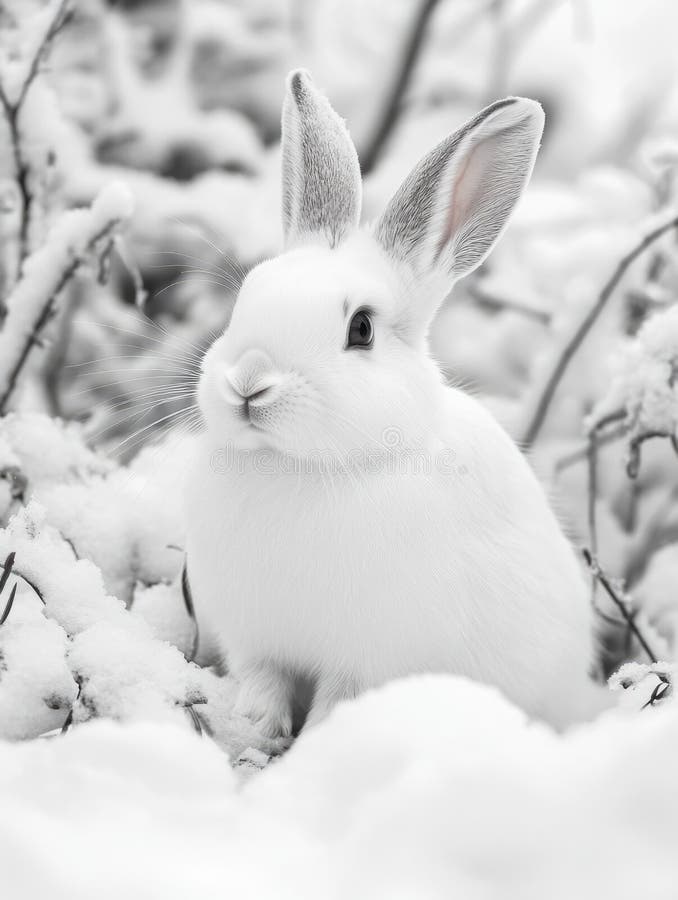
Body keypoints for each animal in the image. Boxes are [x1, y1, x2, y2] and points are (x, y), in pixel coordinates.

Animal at [185, 69, 610, 739]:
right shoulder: (255, 640)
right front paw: (253, 725)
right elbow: (264, 681)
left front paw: (315, 744)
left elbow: (340, 699)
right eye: (248, 295)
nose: (249, 382)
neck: (301, 466)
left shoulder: (368, 659)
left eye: (361, 329)